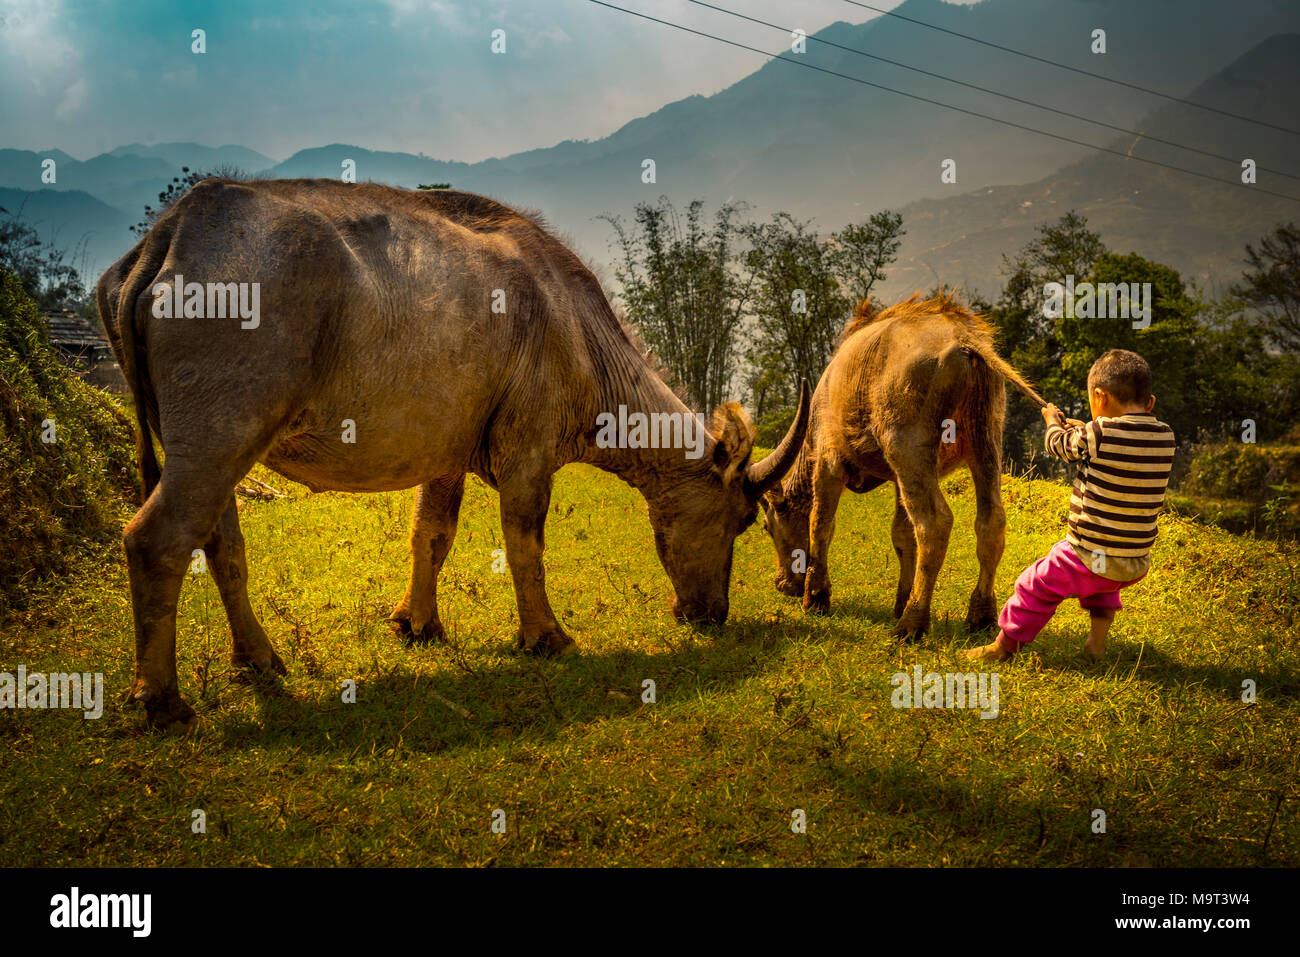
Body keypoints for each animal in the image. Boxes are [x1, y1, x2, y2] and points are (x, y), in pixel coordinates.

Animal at [101, 179, 806, 722]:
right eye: (743, 519)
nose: (711, 615)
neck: (576, 330)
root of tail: (175, 231)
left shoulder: (444, 459)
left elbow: (431, 536)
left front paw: (418, 624)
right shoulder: (528, 455)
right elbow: (524, 546)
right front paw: (546, 636)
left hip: (214, 448)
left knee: (222, 545)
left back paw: (259, 660)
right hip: (217, 439)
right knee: (155, 540)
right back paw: (162, 700)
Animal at [759, 287, 1045, 639]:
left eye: (767, 526)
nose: (783, 584)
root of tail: (962, 336)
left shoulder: (829, 460)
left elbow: (820, 522)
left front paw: (816, 596)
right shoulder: (898, 479)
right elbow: (902, 534)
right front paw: (900, 598)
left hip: (908, 446)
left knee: (934, 523)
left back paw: (912, 621)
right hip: (985, 442)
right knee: (990, 521)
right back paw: (980, 615)